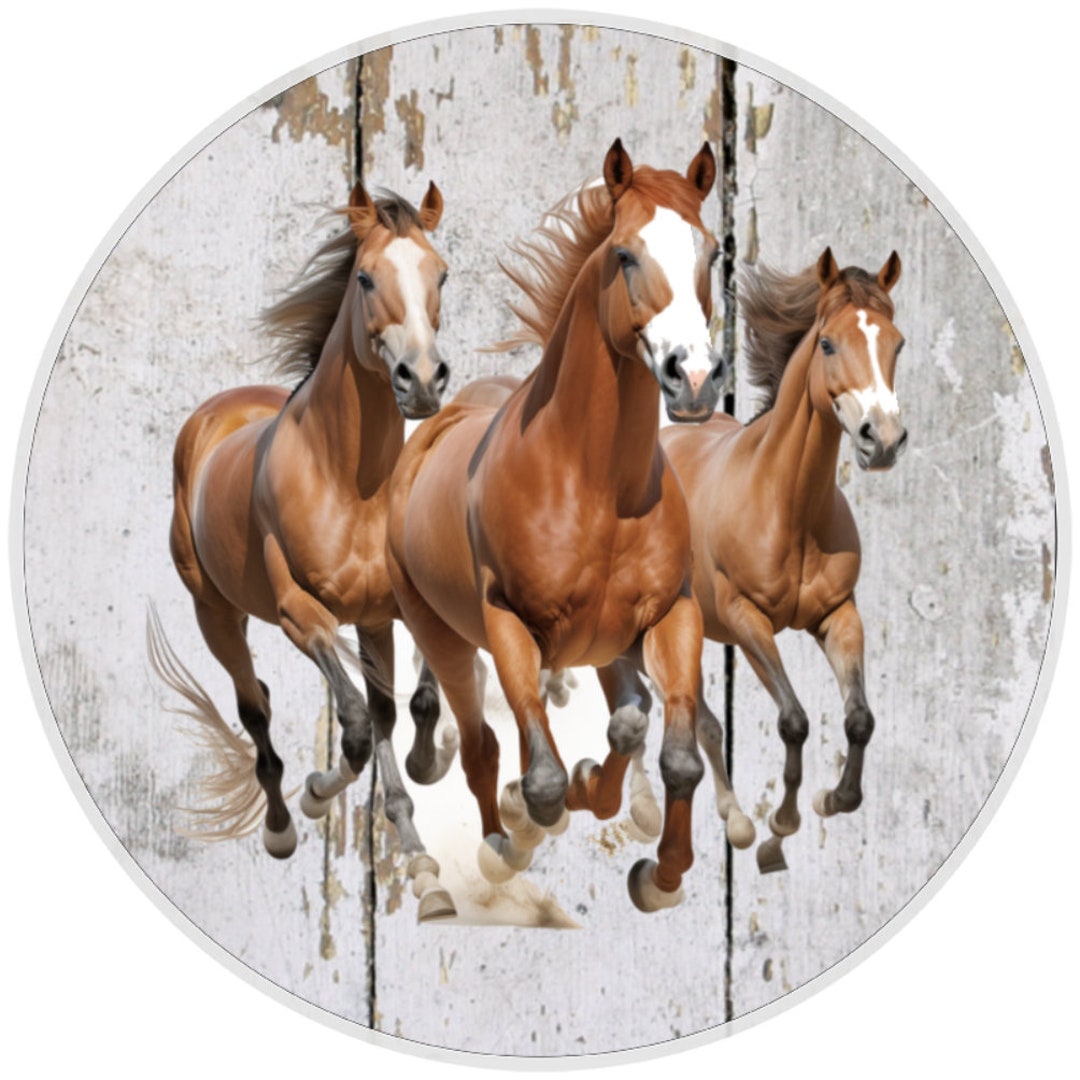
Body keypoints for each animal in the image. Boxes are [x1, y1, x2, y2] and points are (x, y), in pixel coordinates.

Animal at [152, 180, 461, 921]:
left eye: (441, 274)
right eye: (366, 277)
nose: (423, 380)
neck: (350, 479)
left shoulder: (383, 613)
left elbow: (402, 708)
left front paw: (421, 852)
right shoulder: (302, 614)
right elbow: (355, 724)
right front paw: (321, 795)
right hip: (215, 612)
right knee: (254, 706)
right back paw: (282, 827)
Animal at [385, 139, 727, 912]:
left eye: (713, 250)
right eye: (625, 254)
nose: (694, 380)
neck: (596, 485)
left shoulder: (672, 614)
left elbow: (671, 751)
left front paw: (659, 874)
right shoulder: (507, 622)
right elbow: (540, 782)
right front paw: (531, 816)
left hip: (603, 642)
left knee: (623, 715)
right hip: (440, 631)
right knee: (481, 747)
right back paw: (498, 841)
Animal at [655, 247, 907, 872]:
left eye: (897, 343)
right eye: (828, 344)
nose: (883, 441)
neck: (786, 505)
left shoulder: (839, 615)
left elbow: (859, 718)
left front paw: (832, 799)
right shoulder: (746, 619)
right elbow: (793, 720)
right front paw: (778, 828)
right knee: (703, 719)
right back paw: (738, 822)